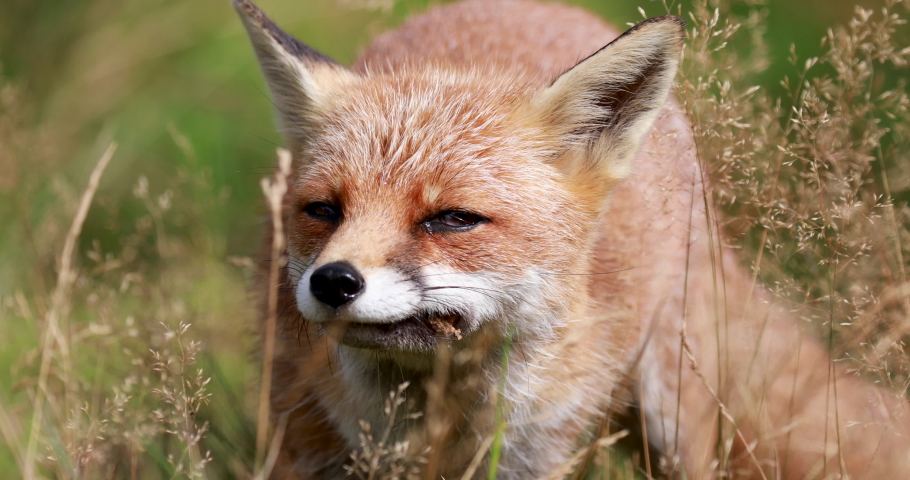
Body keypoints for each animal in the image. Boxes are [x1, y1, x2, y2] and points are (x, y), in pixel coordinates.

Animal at [234, 0, 910, 478]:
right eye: (323, 210)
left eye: (452, 219)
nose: (333, 281)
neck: (432, 407)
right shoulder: (304, 434)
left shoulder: (531, 452)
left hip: (674, 413)